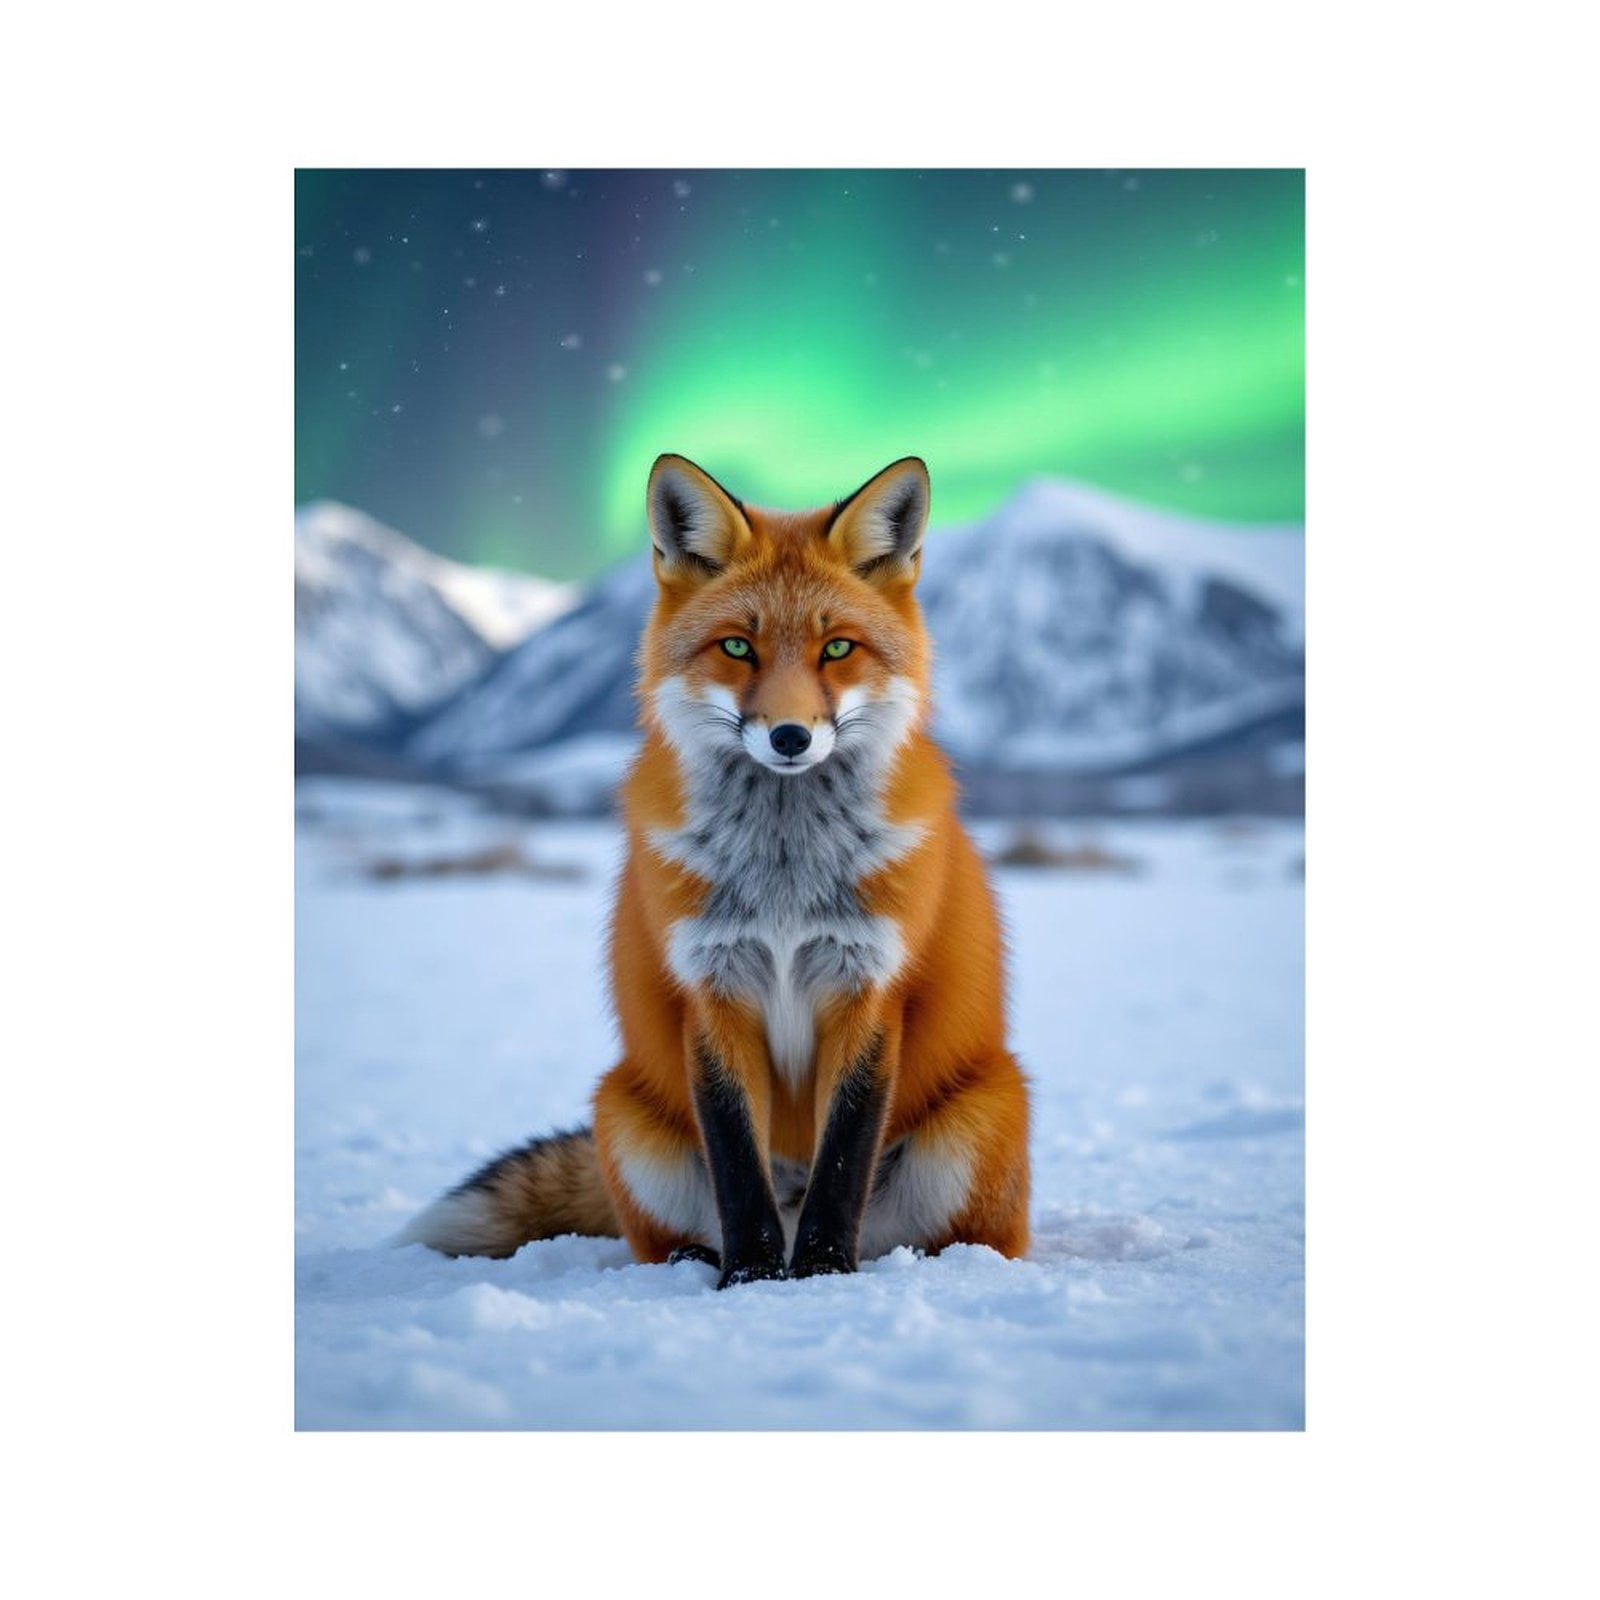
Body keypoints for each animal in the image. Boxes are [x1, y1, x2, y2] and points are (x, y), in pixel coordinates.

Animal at [400, 453, 1030, 1286]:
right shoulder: (710, 987)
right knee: (663, 1233)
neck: (786, 878)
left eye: (837, 649)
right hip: (624, 1112)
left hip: (983, 1115)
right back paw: (697, 1260)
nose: (791, 736)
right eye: (737, 648)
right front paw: (755, 1277)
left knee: (947, 1236)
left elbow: (842, 1160)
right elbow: (735, 1161)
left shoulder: (868, 989)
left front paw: (821, 1274)